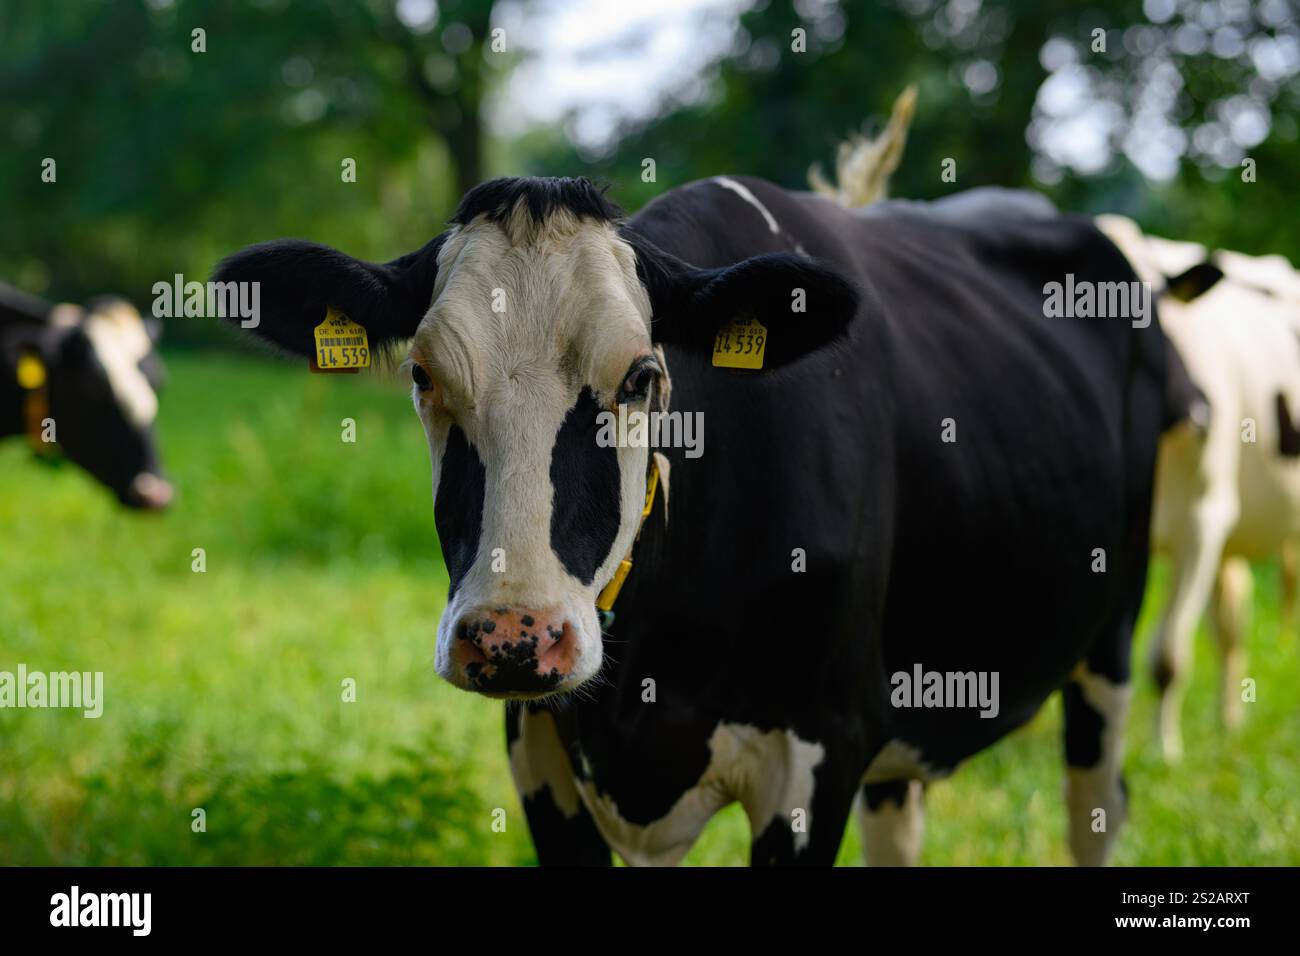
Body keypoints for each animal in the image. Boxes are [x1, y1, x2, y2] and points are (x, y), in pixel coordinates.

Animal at [211, 148, 1181, 866]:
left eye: (641, 377)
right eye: (422, 374)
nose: (512, 636)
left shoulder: (817, 756)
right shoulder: (541, 754)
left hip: (1110, 637)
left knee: (1098, 804)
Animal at [1098, 215, 1300, 762]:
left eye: (1158, 306)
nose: (1197, 413)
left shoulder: (1202, 521)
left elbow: (1166, 657)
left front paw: (1163, 753)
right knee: (1231, 626)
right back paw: (1229, 722)